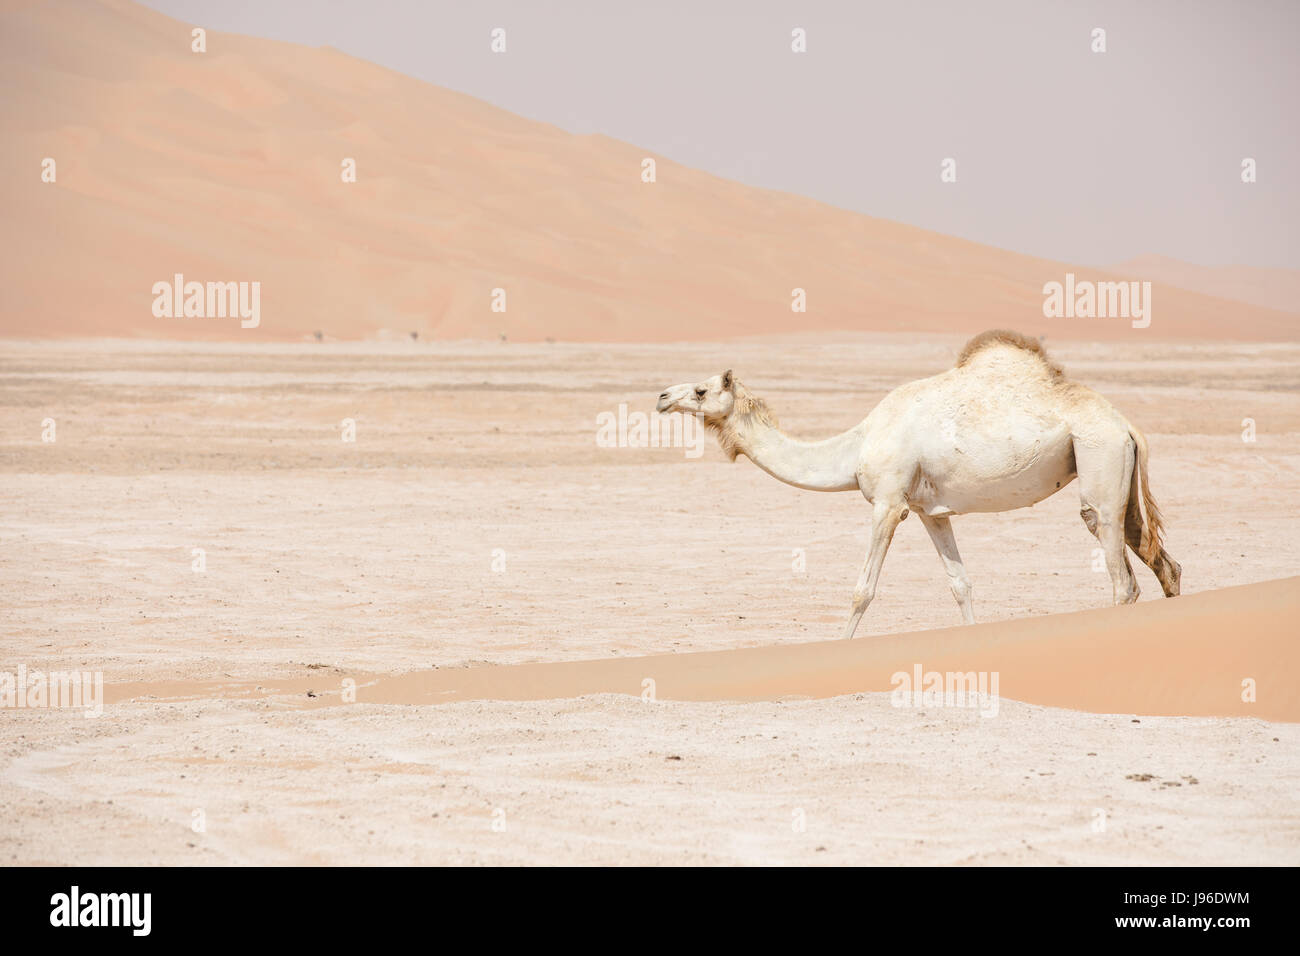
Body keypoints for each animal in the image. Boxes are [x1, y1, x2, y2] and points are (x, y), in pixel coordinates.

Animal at [656, 330, 1181, 639]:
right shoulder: (931, 512)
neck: (858, 443)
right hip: (1117, 473)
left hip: (1098, 458)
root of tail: (1126, 424)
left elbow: (863, 589)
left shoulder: (889, 503)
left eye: (701, 390)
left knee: (1120, 576)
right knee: (1162, 561)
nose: (662, 396)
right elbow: (961, 585)